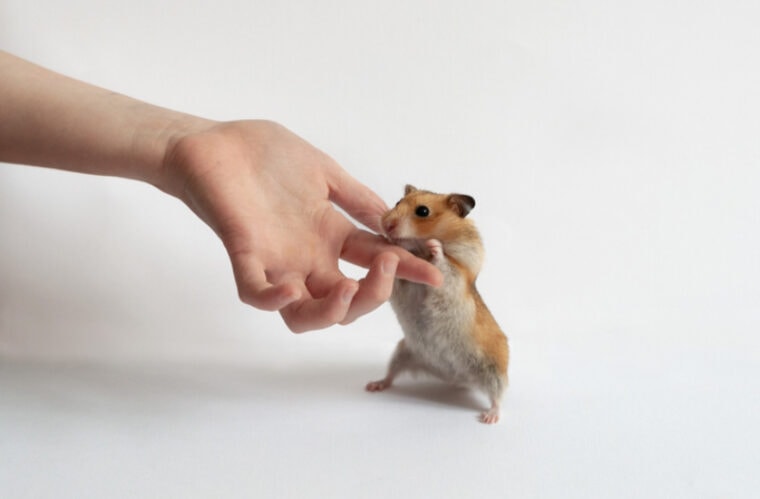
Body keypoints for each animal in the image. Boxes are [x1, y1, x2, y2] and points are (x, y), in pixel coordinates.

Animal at [366, 184, 509, 424]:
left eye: (423, 211)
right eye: (397, 203)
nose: (386, 225)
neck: (419, 252)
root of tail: (456, 377)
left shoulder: (455, 274)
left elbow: (443, 262)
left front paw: (434, 246)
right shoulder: (404, 283)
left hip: (492, 370)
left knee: (497, 396)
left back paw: (489, 418)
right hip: (403, 353)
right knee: (391, 375)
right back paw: (373, 385)